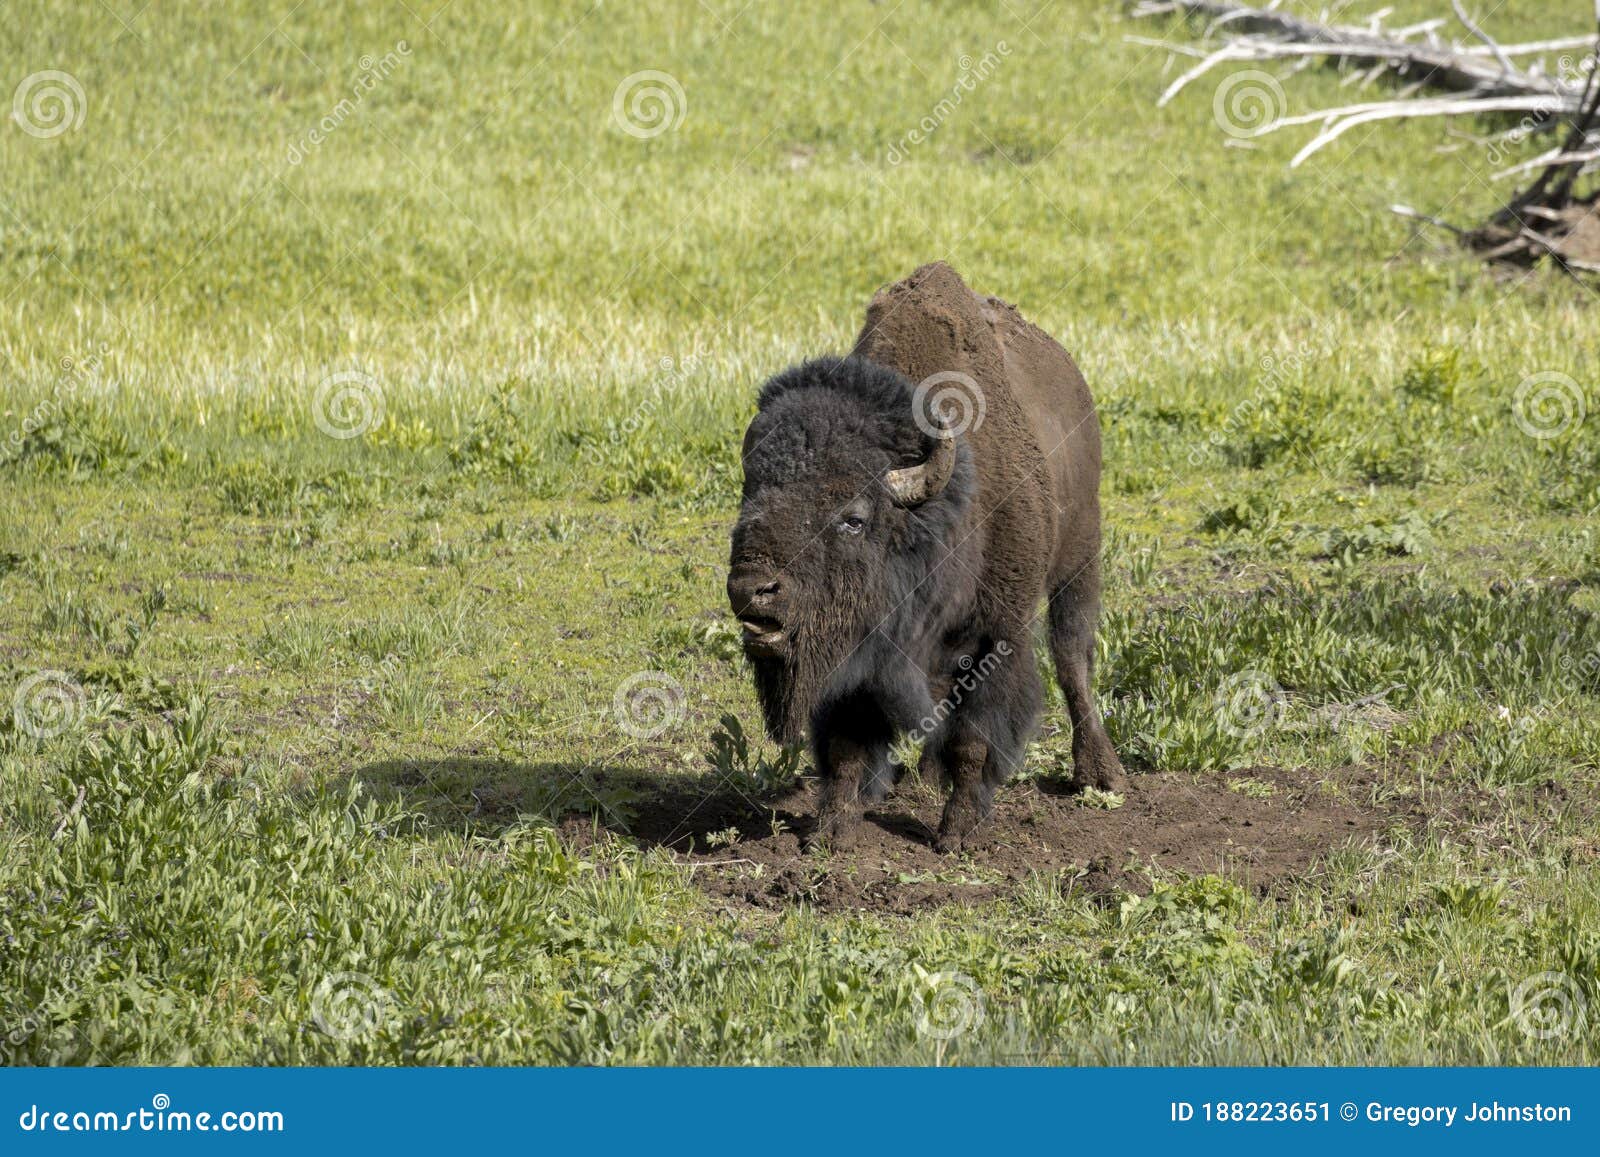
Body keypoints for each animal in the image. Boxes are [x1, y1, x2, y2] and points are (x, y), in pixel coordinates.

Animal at [727, 262, 1123, 851]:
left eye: (853, 517)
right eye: (750, 496)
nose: (752, 589)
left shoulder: (996, 637)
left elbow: (972, 741)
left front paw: (957, 834)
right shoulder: (856, 658)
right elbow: (844, 747)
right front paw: (829, 832)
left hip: (1079, 561)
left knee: (1074, 657)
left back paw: (1099, 773)